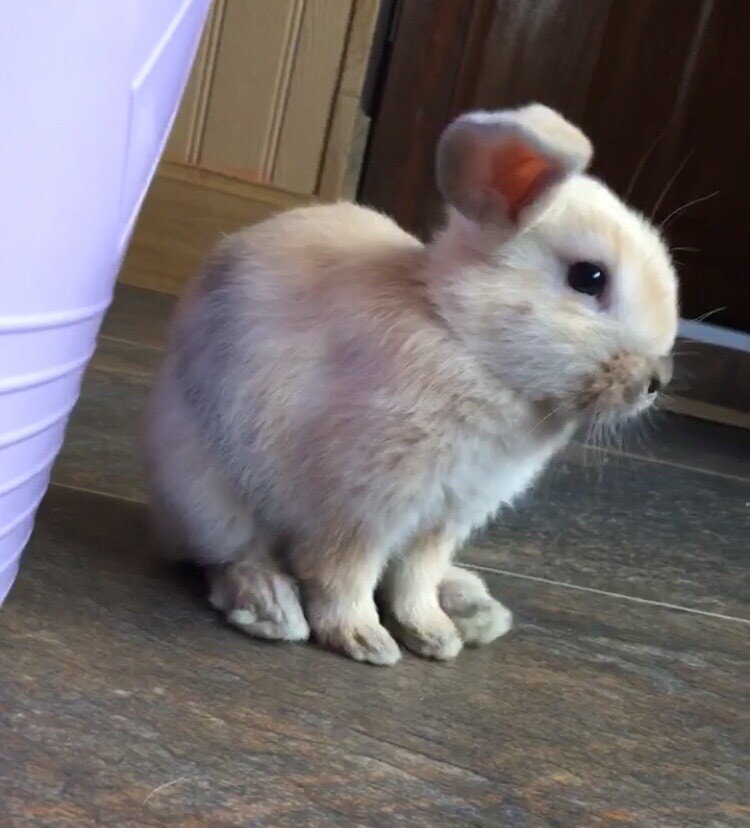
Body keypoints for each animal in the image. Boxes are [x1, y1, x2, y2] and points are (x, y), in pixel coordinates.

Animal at [142, 104, 678, 666]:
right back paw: (271, 606)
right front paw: (366, 641)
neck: (462, 338)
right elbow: (343, 577)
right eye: (589, 277)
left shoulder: (440, 522)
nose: (657, 379)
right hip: (205, 496)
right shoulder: (359, 510)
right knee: (224, 559)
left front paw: (435, 636)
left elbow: (414, 582)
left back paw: (472, 607)